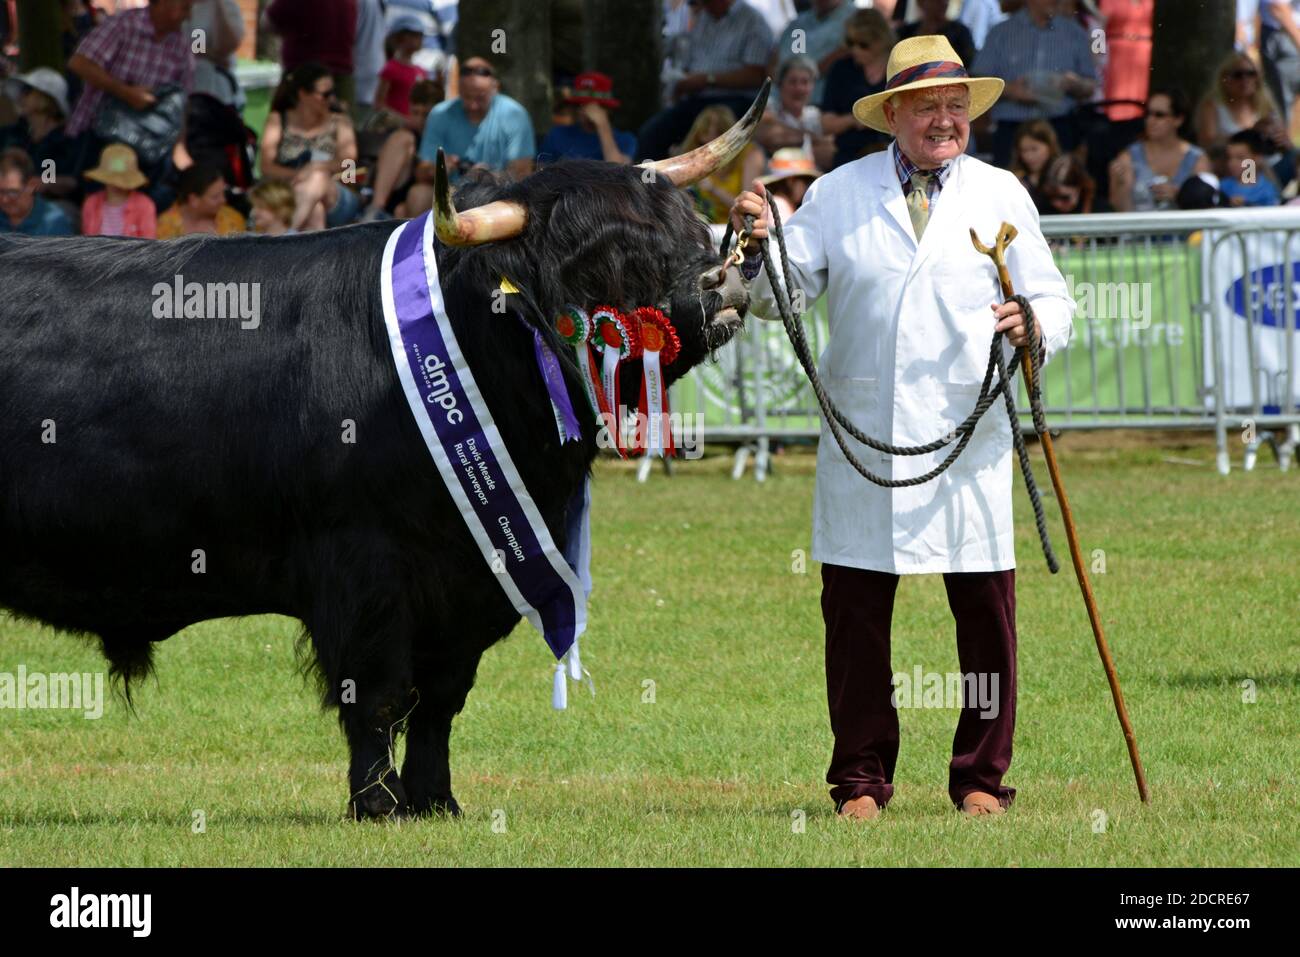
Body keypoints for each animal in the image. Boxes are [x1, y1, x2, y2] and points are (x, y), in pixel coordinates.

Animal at [0, 87, 765, 820]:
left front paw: (437, 799)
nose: (720, 281)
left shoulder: (473, 575)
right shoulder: (362, 566)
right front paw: (377, 802)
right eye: (599, 256)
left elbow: (441, 698)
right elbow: (378, 695)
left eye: (683, 224)